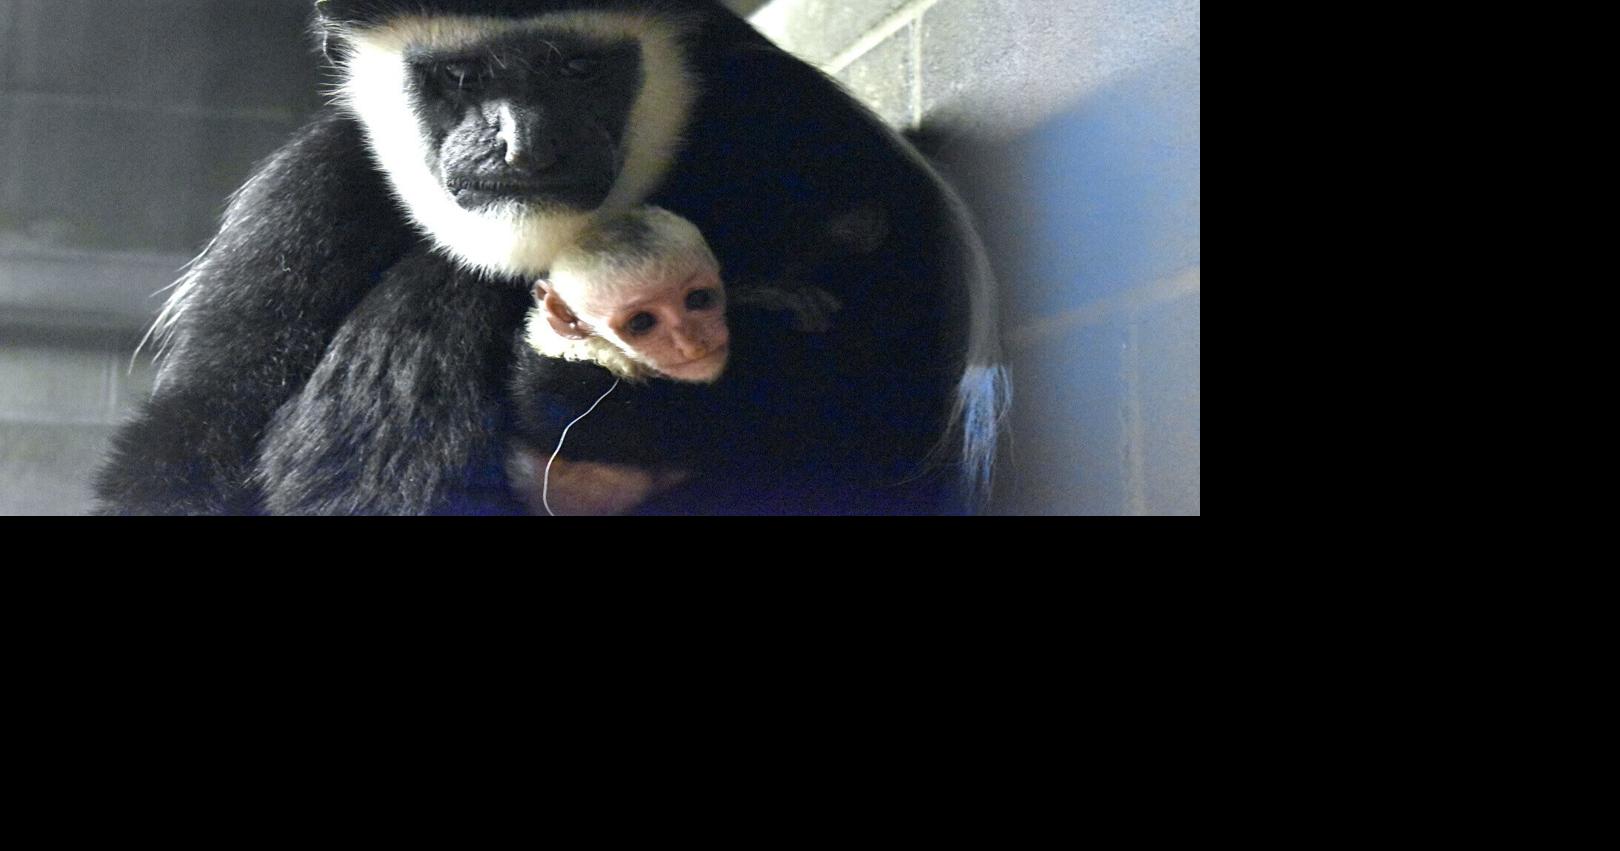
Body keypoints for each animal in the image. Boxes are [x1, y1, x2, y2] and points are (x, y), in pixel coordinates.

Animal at [93, 0, 1009, 516]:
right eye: (461, 76)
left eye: (577, 65)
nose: (525, 148)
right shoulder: (310, 199)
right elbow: (194, 435)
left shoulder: (802, 124)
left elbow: (889, 389)